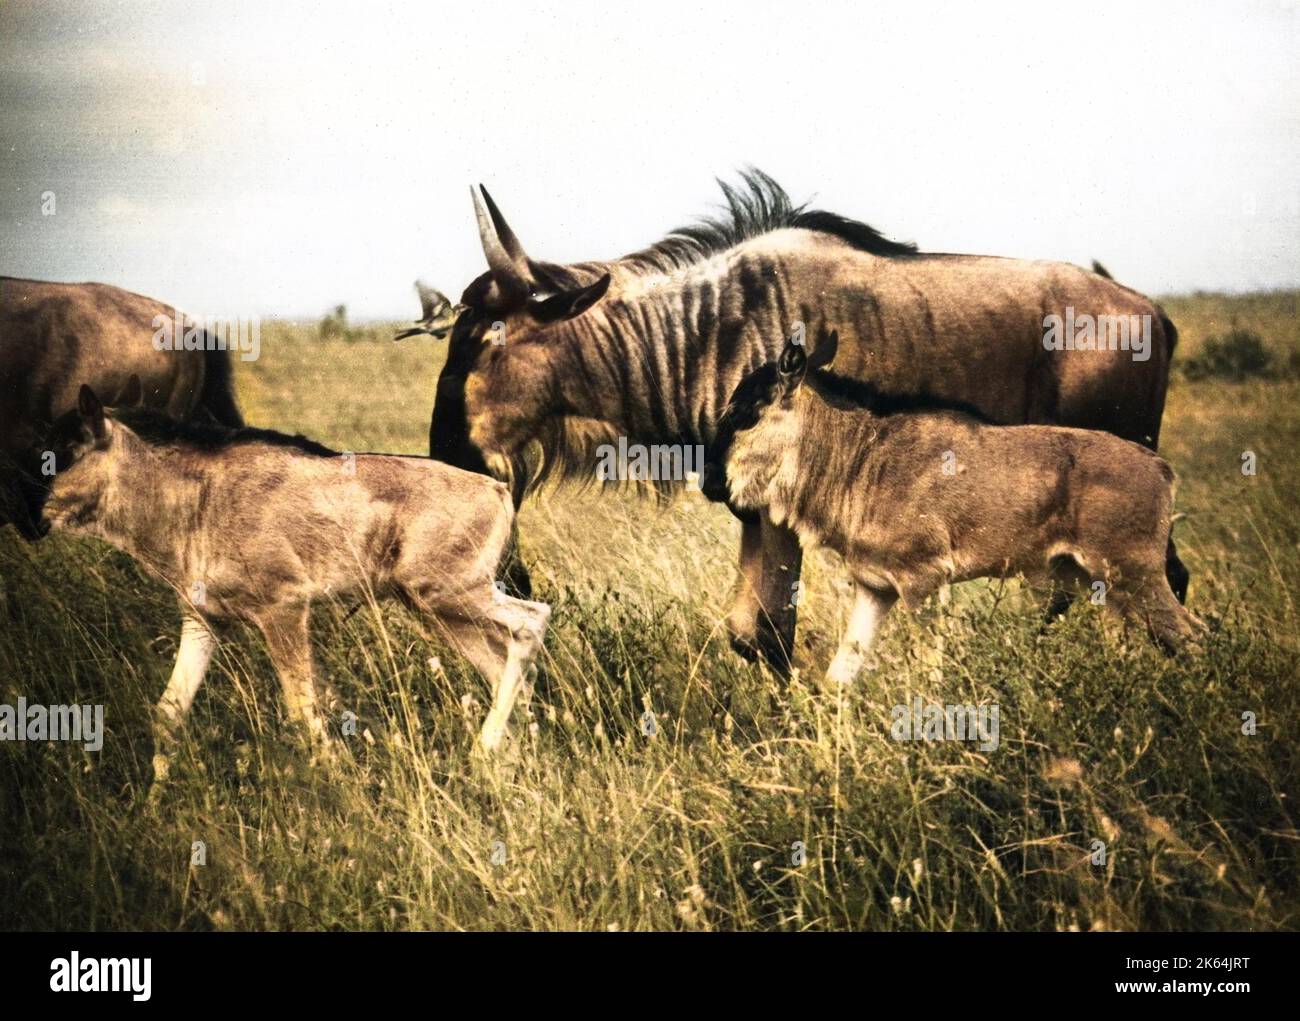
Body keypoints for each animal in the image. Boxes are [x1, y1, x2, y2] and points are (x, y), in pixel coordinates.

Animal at [35, 378, 550, 784]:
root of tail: (498, 489)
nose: (32, 518)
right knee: (505, 668)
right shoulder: (202, 621)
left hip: (451, 593)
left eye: (68, 452)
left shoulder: (284, 609)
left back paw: (484, 752)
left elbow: (305, 719)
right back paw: (509, 766)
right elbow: (168, 714)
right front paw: (154, 804)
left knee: (531, 622)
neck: (197, 500)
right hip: (441, 613)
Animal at [703, 329, 1203, 689]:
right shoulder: (875, 588)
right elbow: (839, 676)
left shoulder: (922, 582)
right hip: (1103, 584)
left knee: (1194, 637)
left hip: (1135, 575)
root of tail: (1159, 468)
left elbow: (929, 672)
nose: (711, 483)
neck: (861, 460)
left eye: (744, 412)